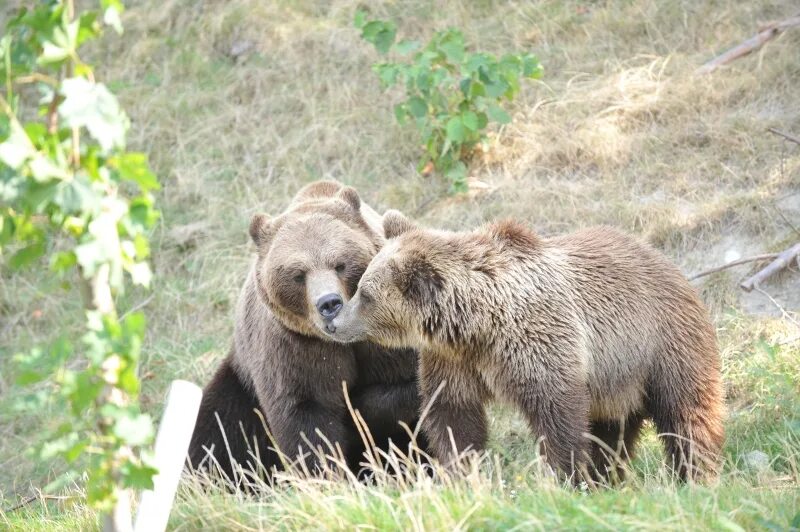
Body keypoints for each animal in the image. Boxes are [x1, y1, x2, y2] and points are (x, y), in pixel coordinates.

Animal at [187, 182, 423, 485]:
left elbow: (407, 387)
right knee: (214, 433)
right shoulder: (293, 347)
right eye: (298, 274)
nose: (329, 303)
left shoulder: (388, 336)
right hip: (239, 386)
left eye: (340, 263)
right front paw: (326, 477)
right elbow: (305, 418)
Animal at [323, 210, 725, 483]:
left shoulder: (536, 342)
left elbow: (556, 414)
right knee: (612, 432)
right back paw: (606, 477)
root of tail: (669, 264)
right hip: (615, 383)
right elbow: (452, 415)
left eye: (365, 294)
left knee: (687, 414)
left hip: (659, 344)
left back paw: (695, 475)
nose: (334, 320)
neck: (476, 325)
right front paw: (463, 474)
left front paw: (566, 477)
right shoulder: (454, 361)